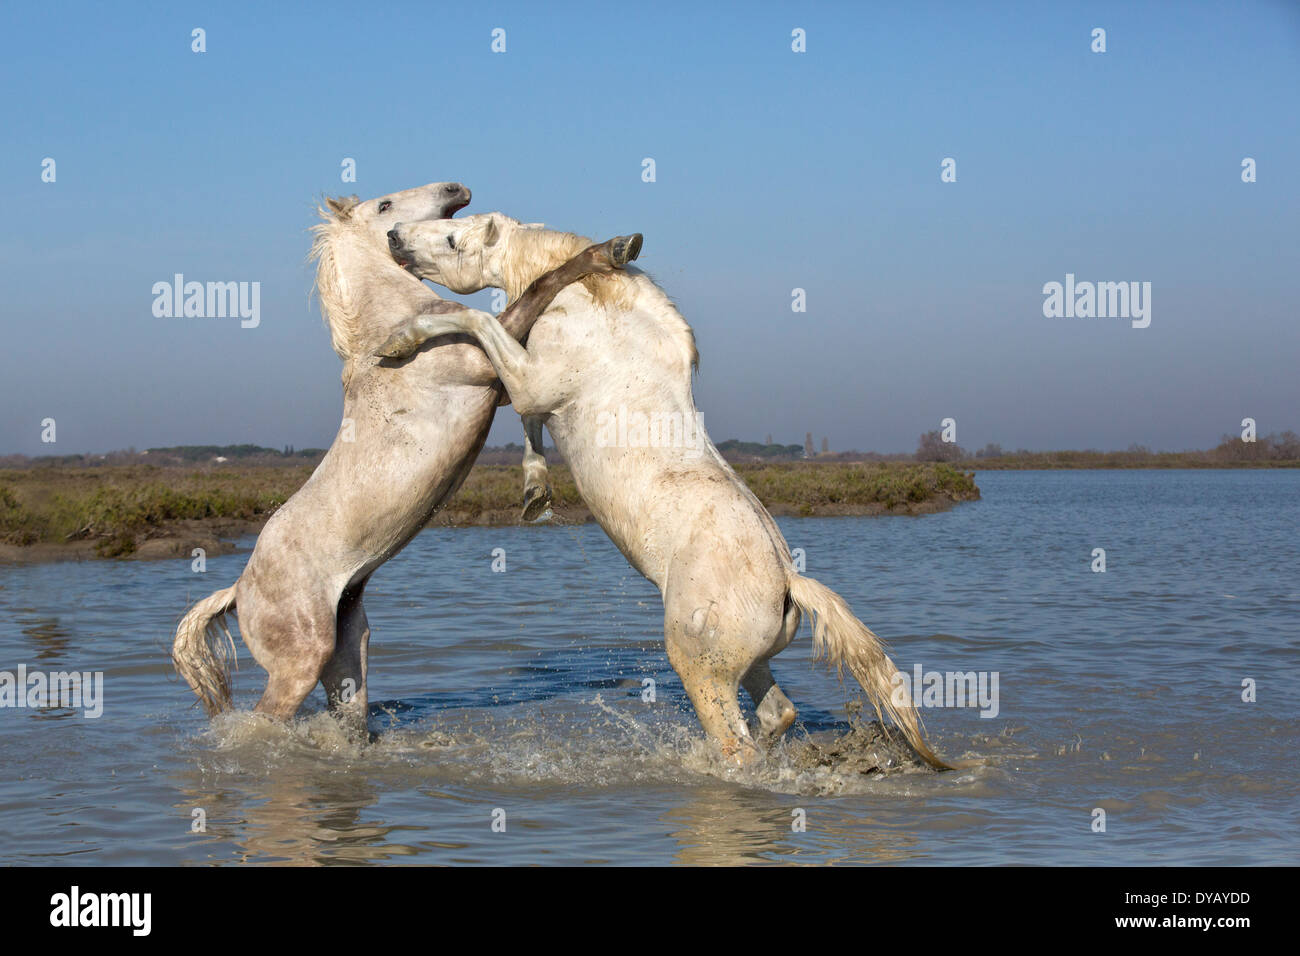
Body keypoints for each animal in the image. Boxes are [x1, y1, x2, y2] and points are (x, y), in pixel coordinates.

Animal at [172, 184, 642, 730]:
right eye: (384, 206)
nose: (456, 188)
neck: (385, 324)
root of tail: (237, 591)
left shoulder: (503, 387)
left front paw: (536, 492)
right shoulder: (486, 364)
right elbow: (541, 285)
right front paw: (612, 250)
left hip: (348, 654)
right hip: (300, 660)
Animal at [377, 212, 950, 769]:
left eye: (453, 239)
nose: (393, 237)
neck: (593, 302)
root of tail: (790, 583)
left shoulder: (530, 383)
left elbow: (478, 323)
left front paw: (398, 342)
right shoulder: (533, 393)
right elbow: (528, 426)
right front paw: (535, 492)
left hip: (700, 666)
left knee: (737, 745)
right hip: (748, 664)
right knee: (778, 715)